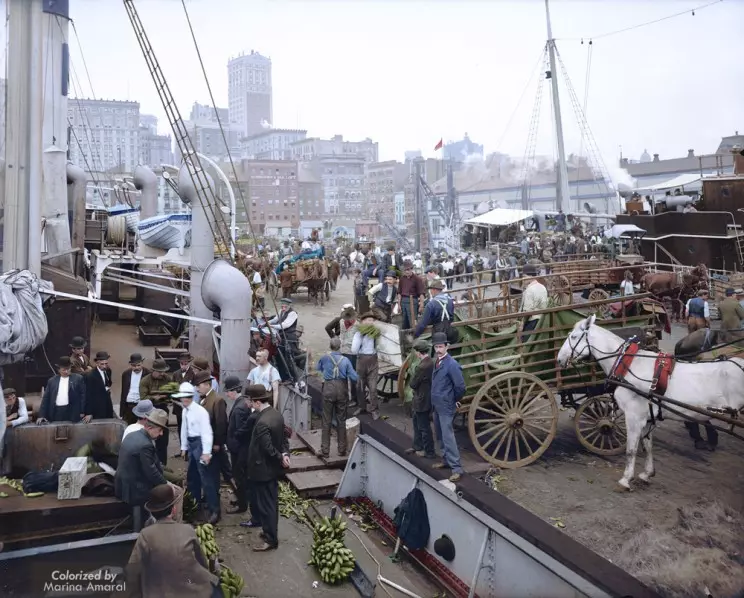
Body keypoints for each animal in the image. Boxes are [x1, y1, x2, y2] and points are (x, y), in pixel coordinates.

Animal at [560, 316, 744, 490]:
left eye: (574, 336)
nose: (559, 359)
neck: (629, 365)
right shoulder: (647, 416)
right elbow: (648, 446)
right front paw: (647, 474)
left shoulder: (633, 416)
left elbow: (631, 450)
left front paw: (625, 479)